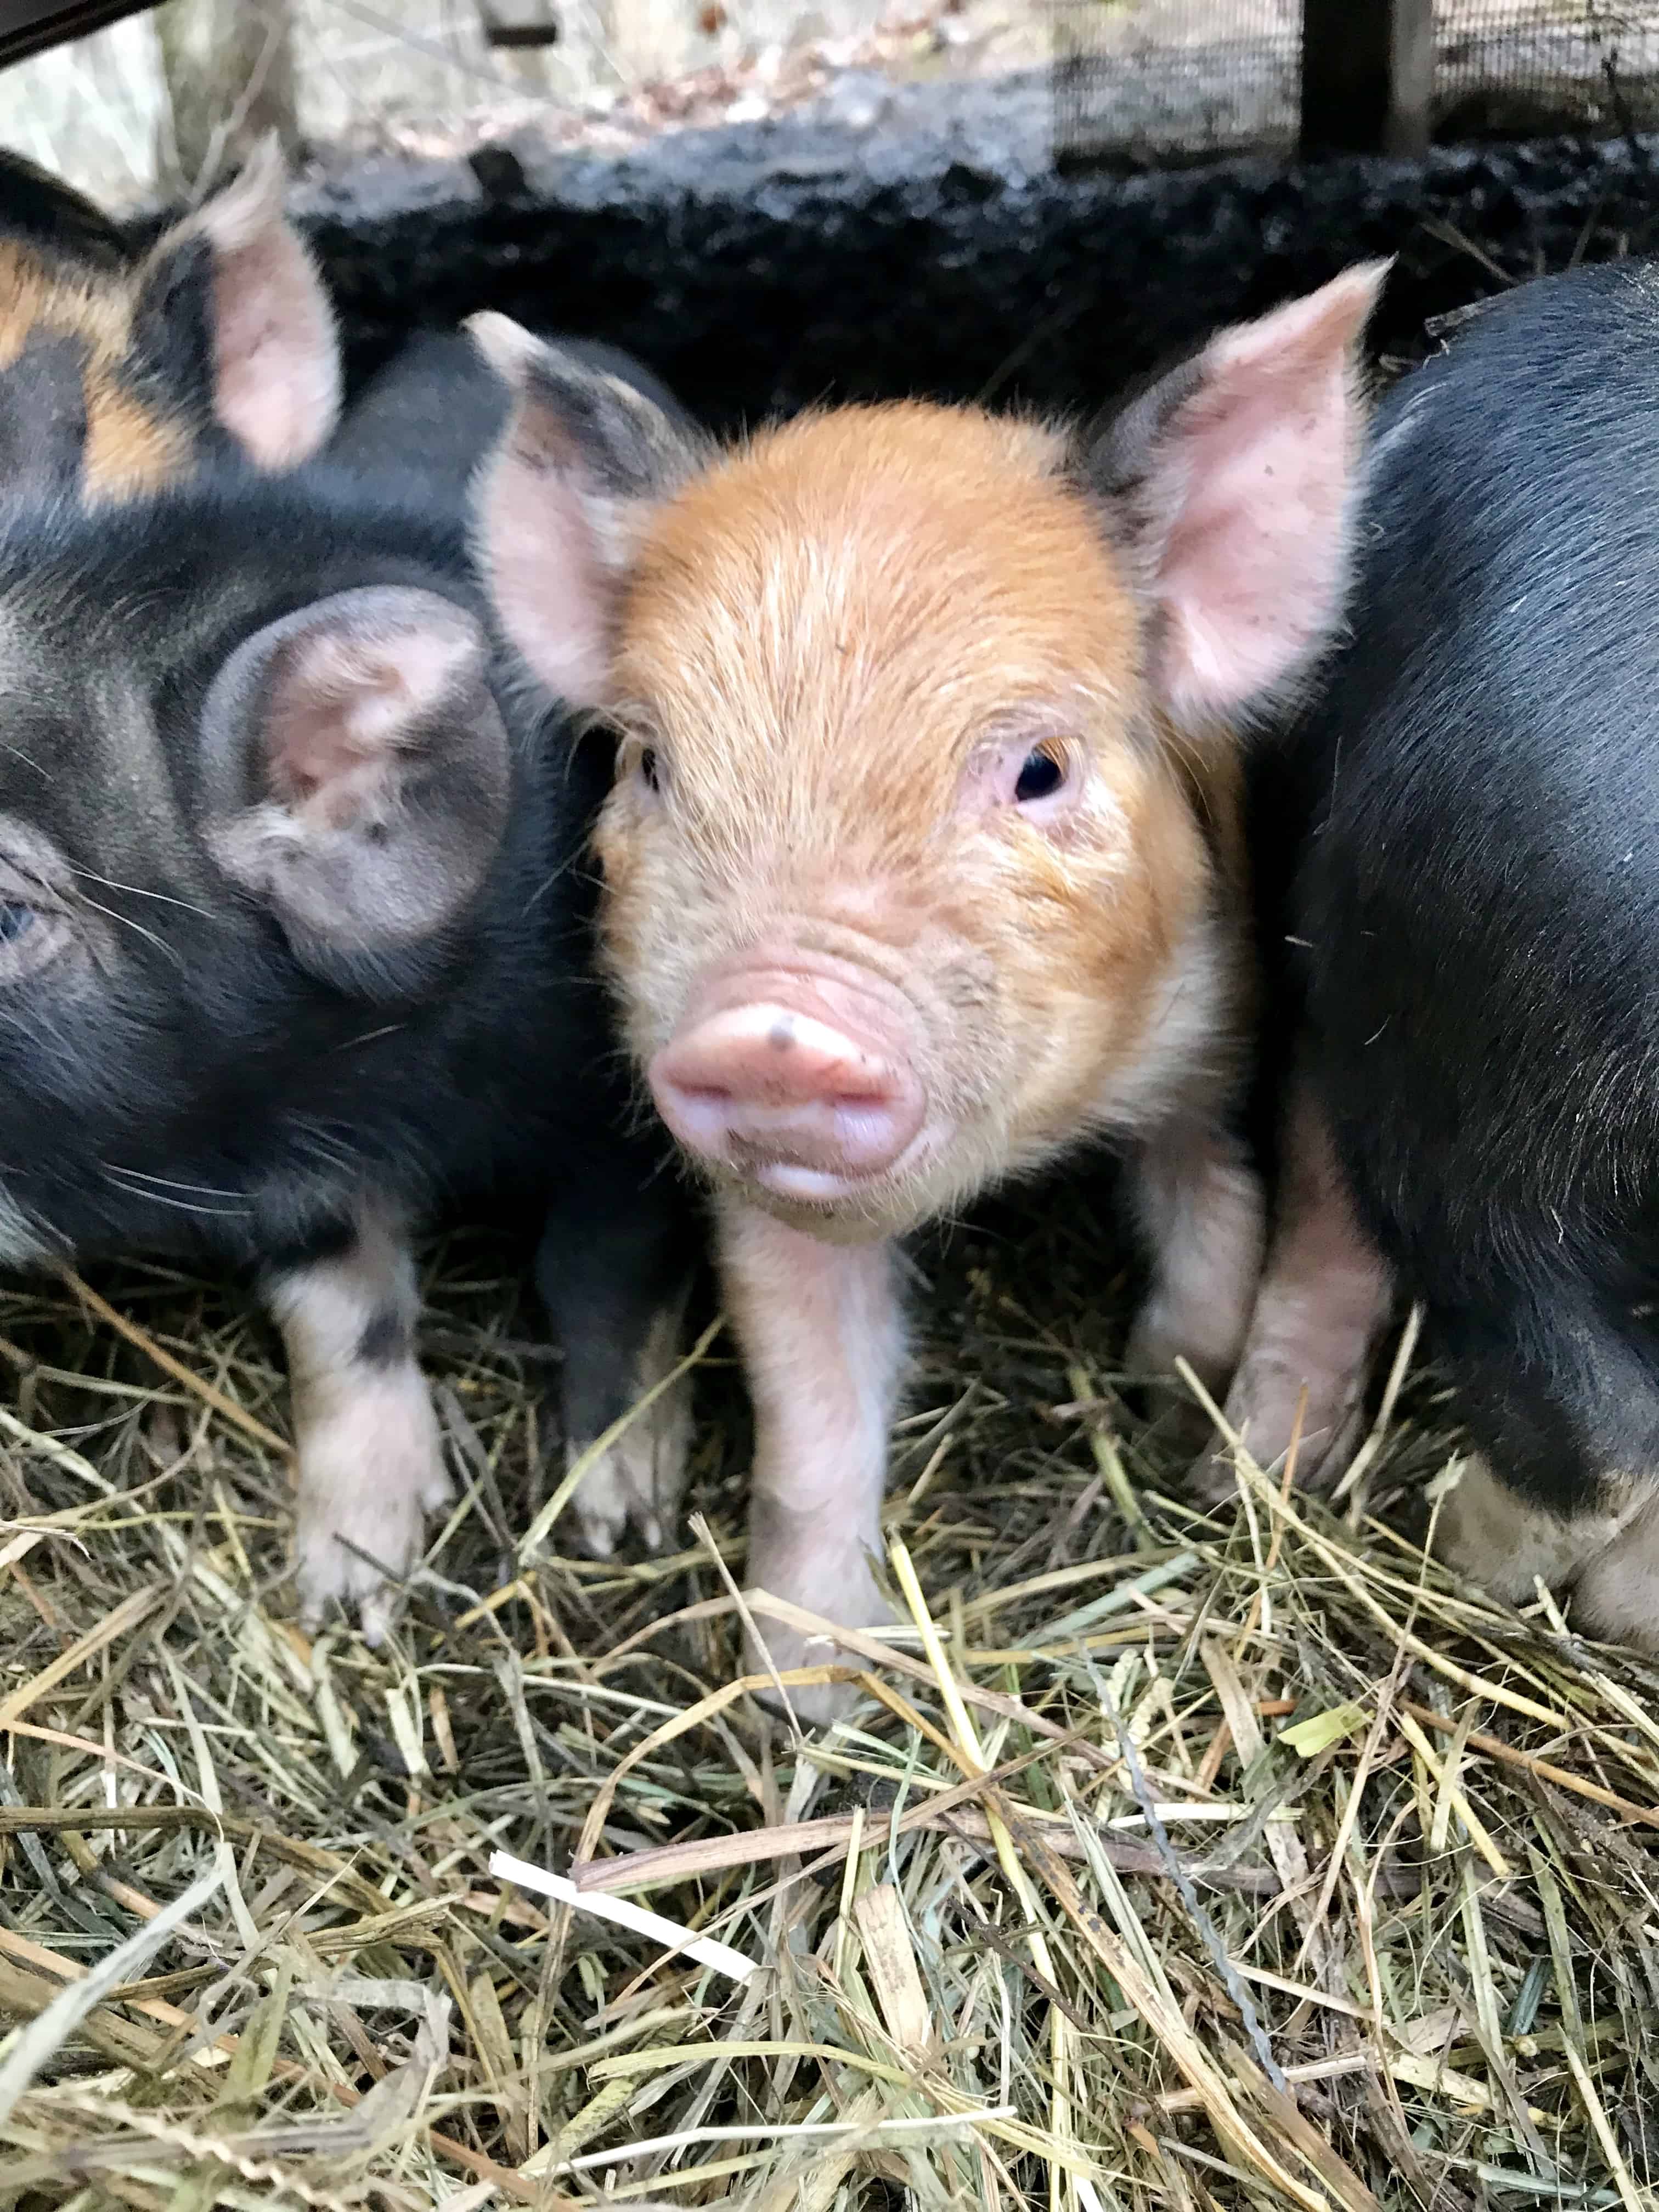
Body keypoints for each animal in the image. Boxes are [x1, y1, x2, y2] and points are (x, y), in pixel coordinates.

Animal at [0, 202, 702, 1630]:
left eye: (5, 917)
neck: (411, 1091)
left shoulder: (631, 1098)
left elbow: (606, 1268)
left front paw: (621, 1514)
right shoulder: (289, 1178)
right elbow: (343, 1311)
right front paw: (349, 1586)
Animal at [465, 263, 1387, 1708]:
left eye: (1041, 770)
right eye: (652, 765)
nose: (773, 1027)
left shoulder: (1220, 1027)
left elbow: (1217, 1212)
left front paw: (1166, 1398)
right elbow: (810, 1410)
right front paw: (798, 1697)